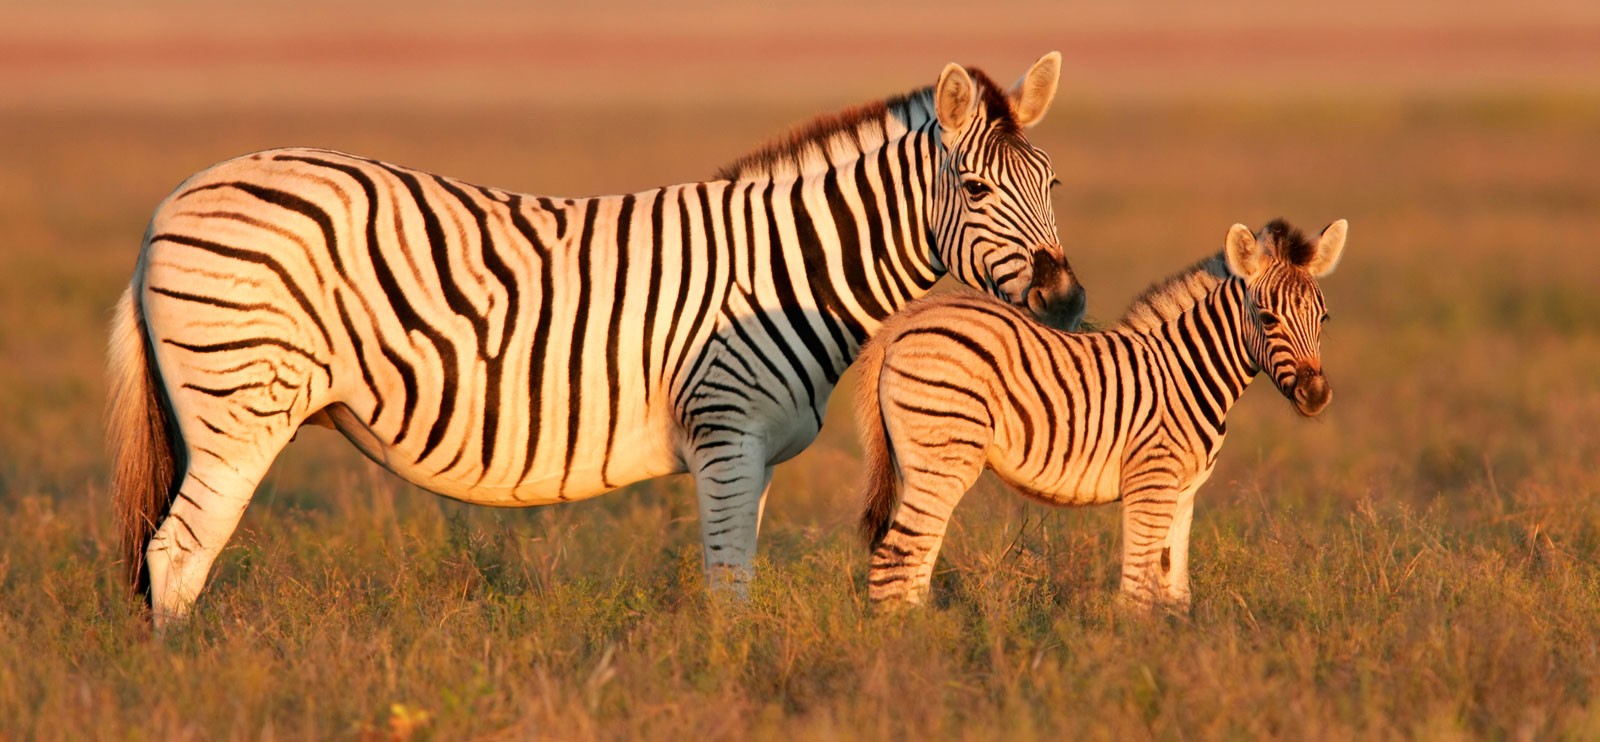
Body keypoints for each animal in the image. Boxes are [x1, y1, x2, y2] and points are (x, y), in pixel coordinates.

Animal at [108, 53, 1088, 625]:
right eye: (974, 188)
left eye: (1053, 183)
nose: (1068, 297)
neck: (789, 269)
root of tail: (170, 205)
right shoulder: (725, 431)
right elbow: (729, 590)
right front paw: (734, 682)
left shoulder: (753, 451)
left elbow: (735, 574)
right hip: (242, 408)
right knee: (177, 553)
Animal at [855, 218, 1345, 610]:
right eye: (1267, 317)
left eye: (1324, 318)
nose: (1317, 395)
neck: (1188, 370)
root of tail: (905, 321)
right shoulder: (1151, 482)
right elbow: (1137, 591)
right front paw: (1128, 659)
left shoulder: (1184, 492)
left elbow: (1175, 590)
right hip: (945, 454)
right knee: (895, 560)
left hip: (924, 465)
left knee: (916, 560)